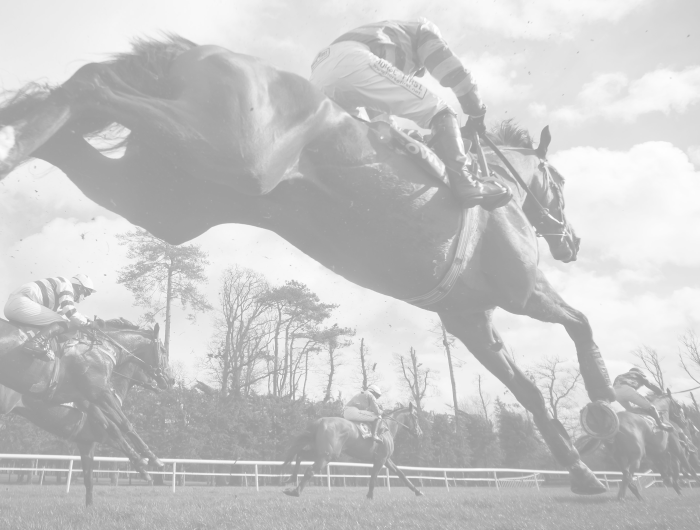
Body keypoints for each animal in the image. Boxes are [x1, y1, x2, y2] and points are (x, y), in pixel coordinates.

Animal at [0, 318, 170, 483]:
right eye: (163, 350)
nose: (171, 379)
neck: (103, 350)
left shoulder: (87, 430)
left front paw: (143, 463)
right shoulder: (99, 396)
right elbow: (122, 425)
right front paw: (149, 459)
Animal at [282, 404, 423, 499]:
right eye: (416, 417)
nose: (420, 433)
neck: (387, 427)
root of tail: (320, 421)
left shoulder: (386, 459)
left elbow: (401, 474)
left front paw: (417, 491)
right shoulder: (381, 459)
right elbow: (373, 478)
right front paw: (369, 496)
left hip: (319, 452)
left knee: (300, 455)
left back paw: (291, 479)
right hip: (328, 455)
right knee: (310, 470)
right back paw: (295, 491)